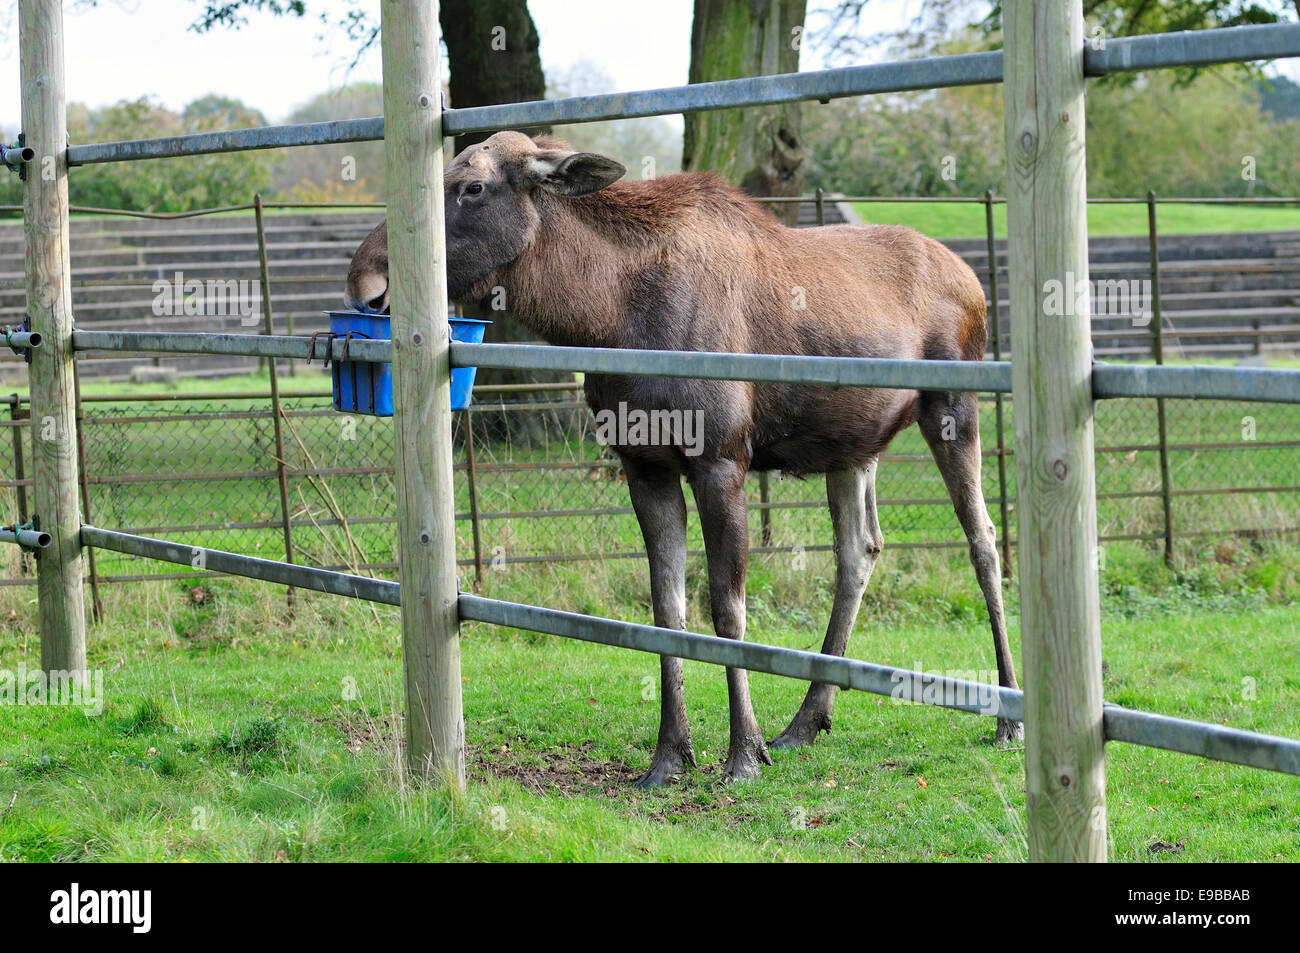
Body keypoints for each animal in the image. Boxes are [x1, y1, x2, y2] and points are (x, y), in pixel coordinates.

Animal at [345, 131, 1021, 786]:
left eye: (473, 187)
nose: (365, 284)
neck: (604, 318)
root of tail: (974, 280)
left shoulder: (720, 460)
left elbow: (727, 609)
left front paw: (742, 752)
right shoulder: (643, 464)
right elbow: (666, 608)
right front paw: (671, 753)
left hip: (953, 408)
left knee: (984, 538)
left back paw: (1007, 712)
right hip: (853, 446)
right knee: (860, 551)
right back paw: (807, 719)